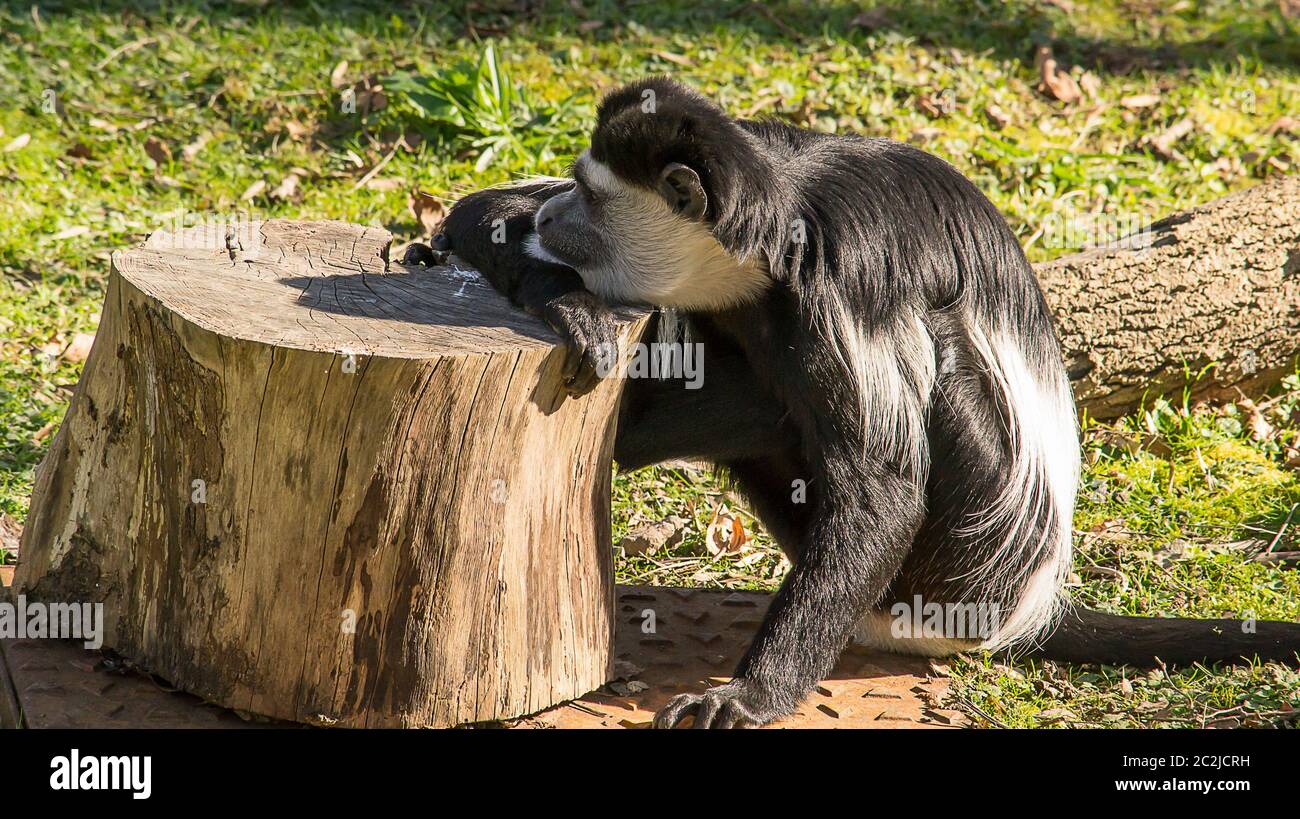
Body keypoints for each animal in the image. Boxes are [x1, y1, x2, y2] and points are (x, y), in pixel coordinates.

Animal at [405, 78, 1300, 728]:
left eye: (590, 198)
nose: (555, 212)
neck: (767, 237)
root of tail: (1029, 599)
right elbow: (484, 209)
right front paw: (543, 282)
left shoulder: (838, 284)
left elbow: (882, 487)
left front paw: (747, 696)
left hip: (963, 550)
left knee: (925, 363)